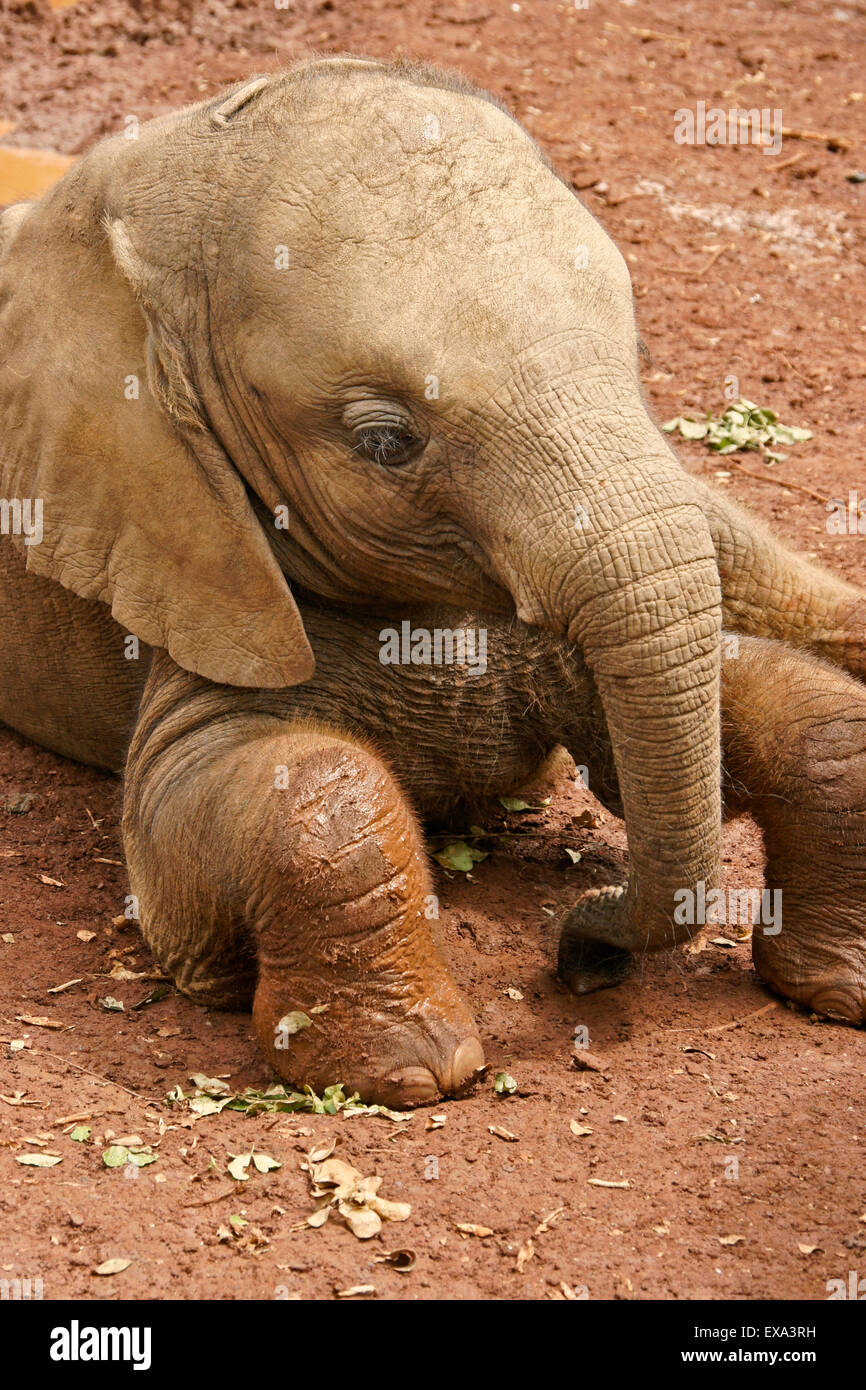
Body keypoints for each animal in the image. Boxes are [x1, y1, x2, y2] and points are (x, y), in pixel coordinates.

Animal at [1, 57, 865, 1105]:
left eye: (643, 359)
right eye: (385, 442)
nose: (582, 957)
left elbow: (782, 713)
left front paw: (840, 990)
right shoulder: (192, 558)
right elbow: (233, 790)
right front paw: (412, 1070)